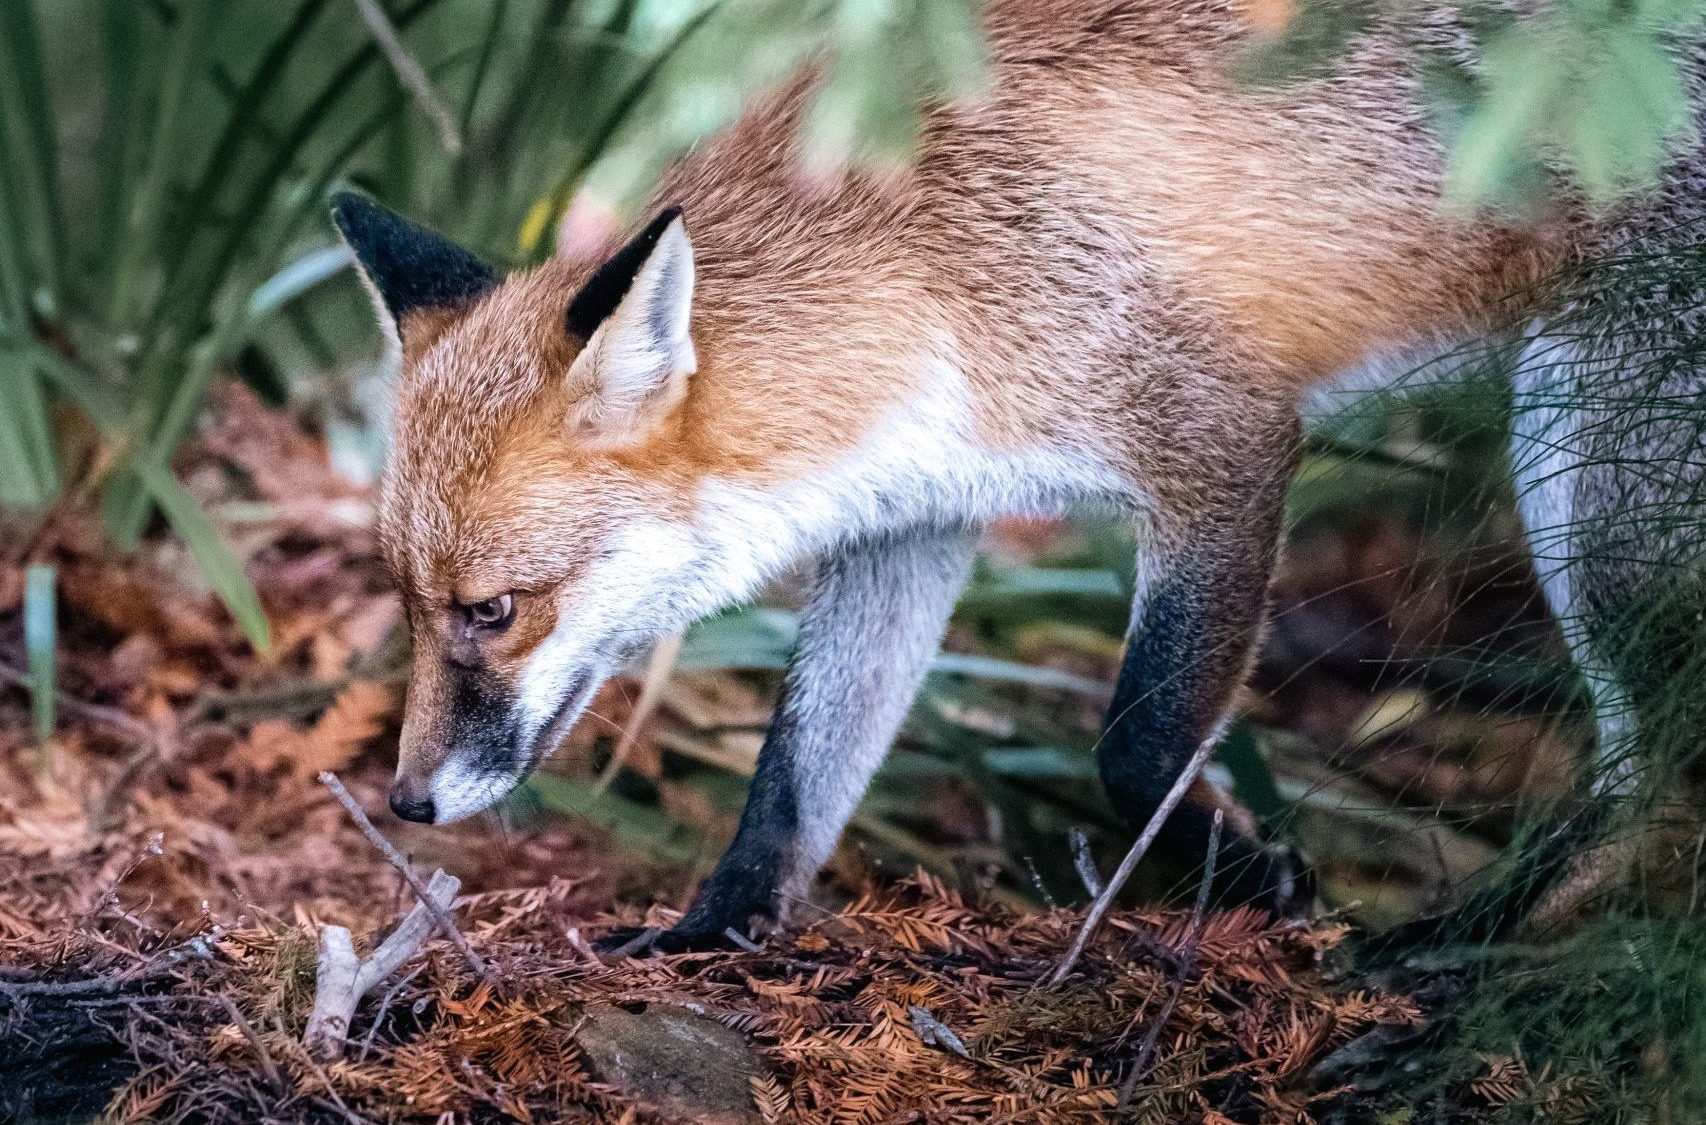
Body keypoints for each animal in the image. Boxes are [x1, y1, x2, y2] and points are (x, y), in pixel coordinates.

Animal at [333, 0, 1706, 949]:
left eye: (493, 611)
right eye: (403, 602)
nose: (403, 806)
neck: (928, 272)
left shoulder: (1222, 442)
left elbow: (1136, 743)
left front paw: (1255, 879)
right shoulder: (911, 529)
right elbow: (794, 778)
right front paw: (712, 935)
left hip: (1589, 480)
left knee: (1658, 777)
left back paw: (1460, 959)